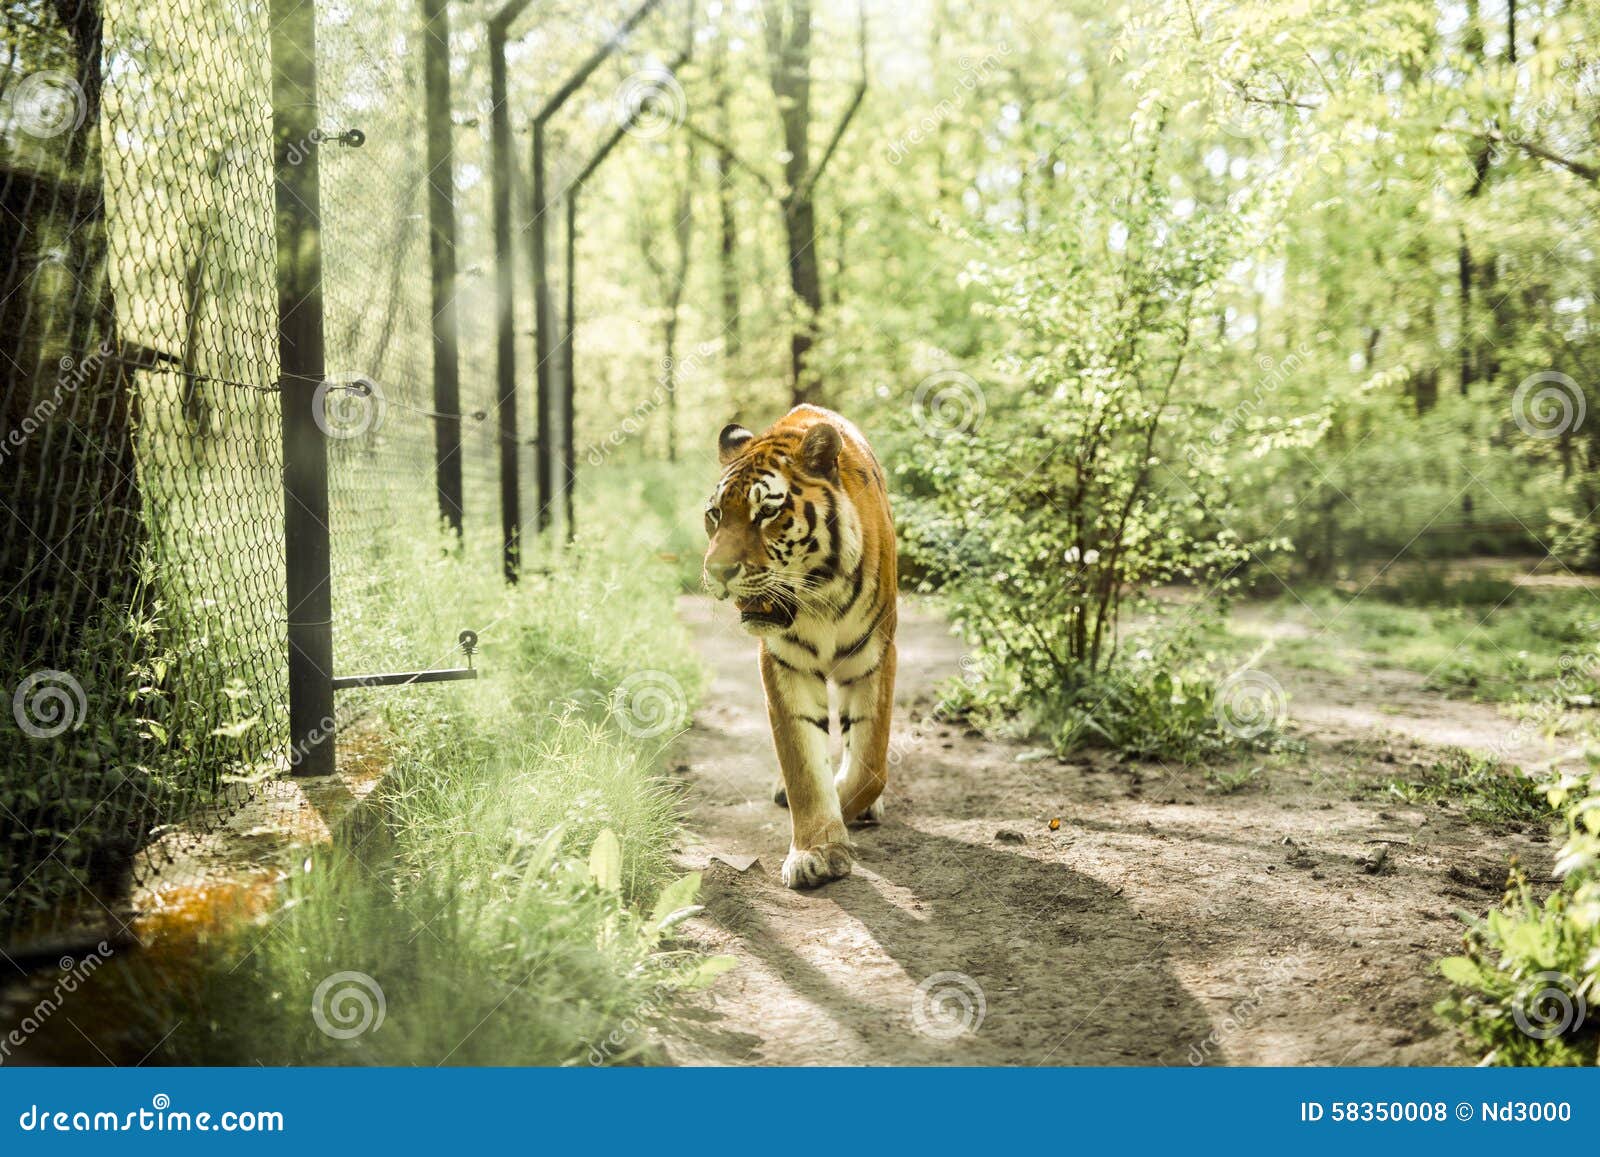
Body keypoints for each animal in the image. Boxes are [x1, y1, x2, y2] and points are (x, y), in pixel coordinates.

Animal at [702, 404, 898, 889]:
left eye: (766, 512)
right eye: (715, 514)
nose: (717, 570)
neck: (818, 596)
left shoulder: (875, 657)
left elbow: (869, 765)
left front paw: (844, 809)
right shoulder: (784, 664)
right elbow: (803, 767)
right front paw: (817, 850)